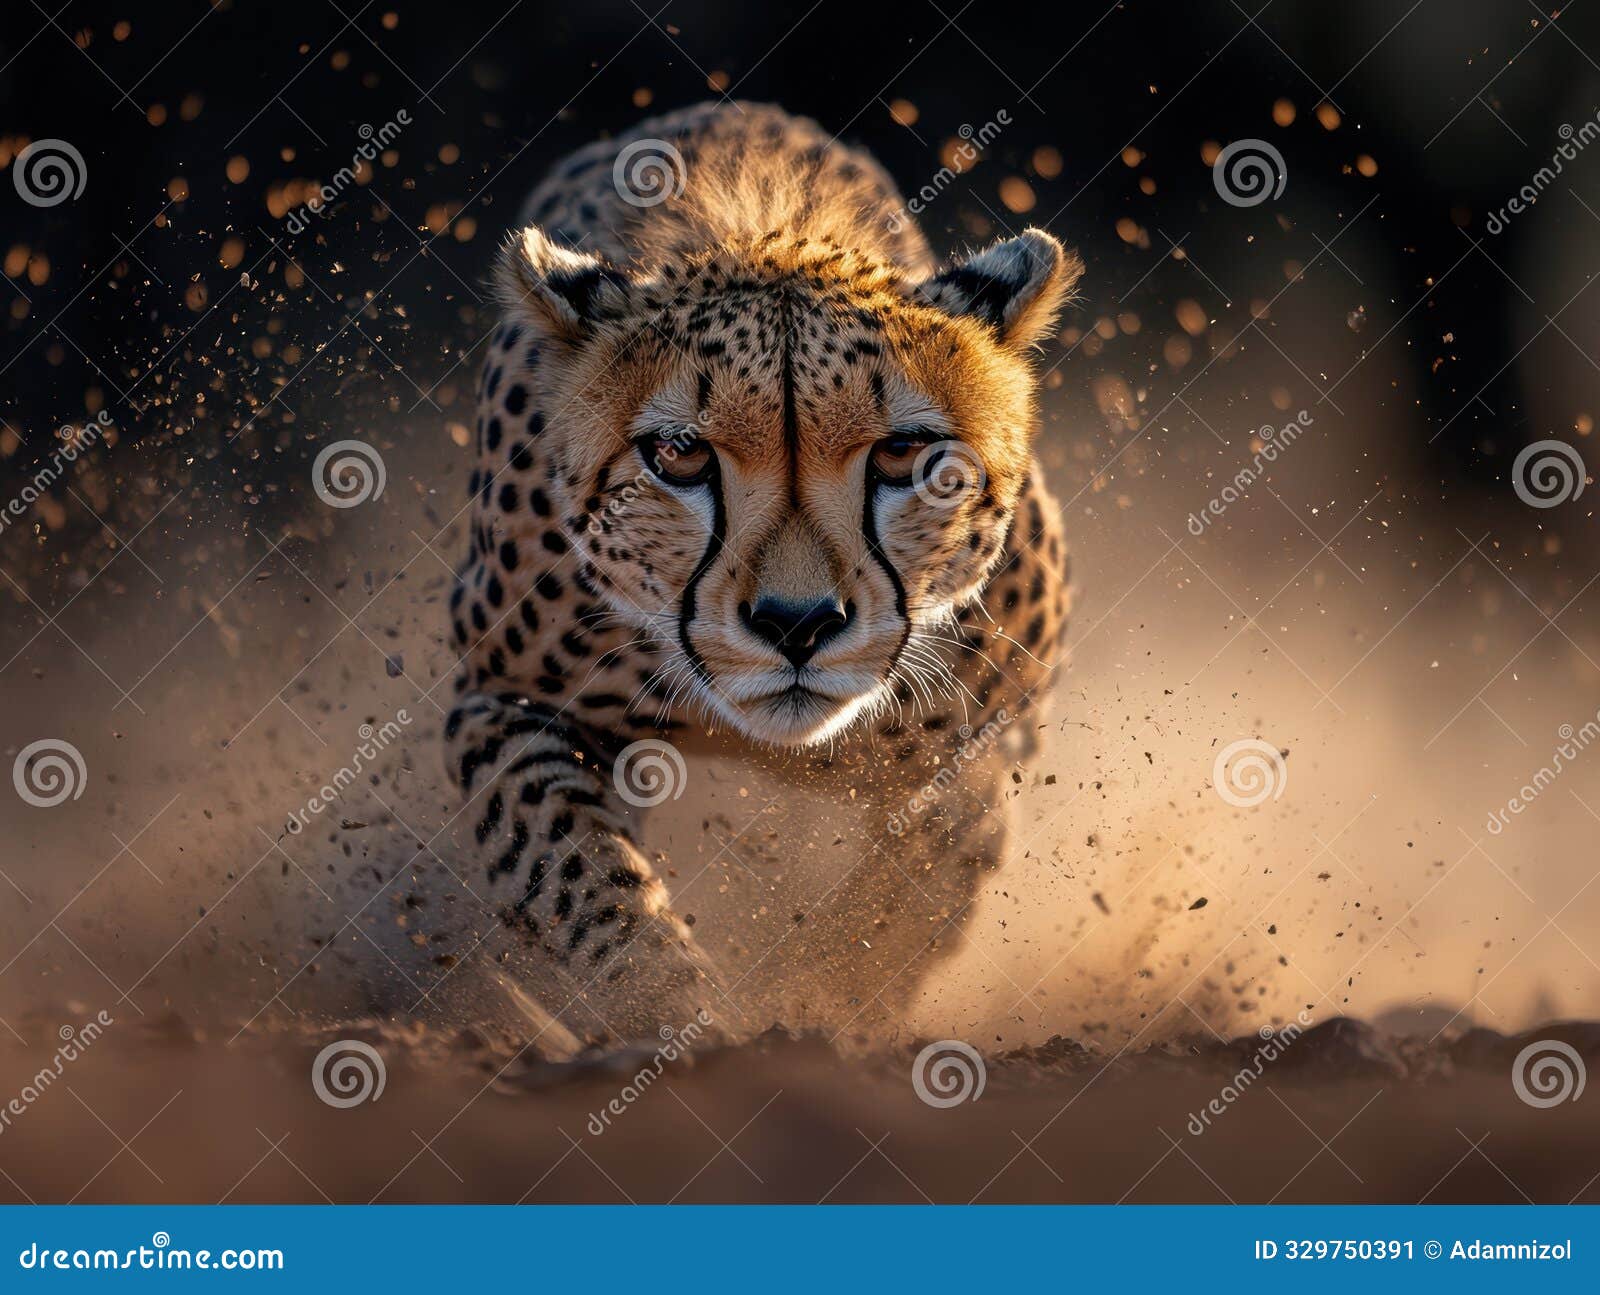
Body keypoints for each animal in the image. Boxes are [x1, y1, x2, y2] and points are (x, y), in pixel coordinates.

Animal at [444, 101, 1081, 1050]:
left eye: (901, 453)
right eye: (678, 453)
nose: (796, 624)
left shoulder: (988, 731)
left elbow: (909, 894)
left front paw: (828, 1007)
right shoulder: (502, 697)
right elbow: (575, 876)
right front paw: (680, 1017)